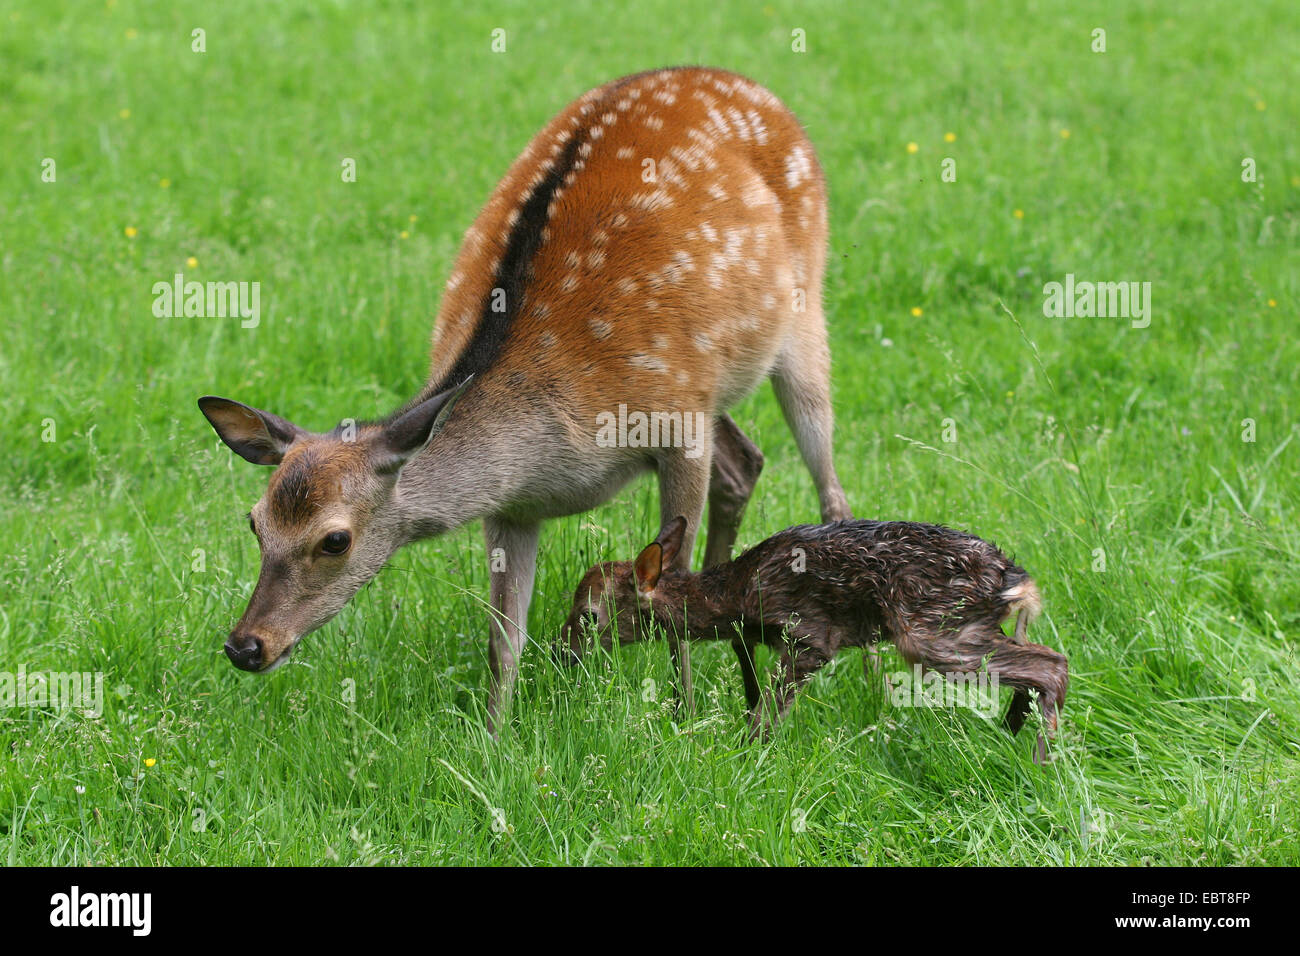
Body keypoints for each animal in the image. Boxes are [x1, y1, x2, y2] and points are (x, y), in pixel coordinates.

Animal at [197, 66, 852, 733]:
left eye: (335, 539)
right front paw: (493, 734)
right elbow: (503, 635)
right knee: (744, 462)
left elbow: (670, 583)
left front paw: (685, 714)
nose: (245, 645)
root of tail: (742, 83)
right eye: (254, 522)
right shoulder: (510, 505)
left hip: (802, 318)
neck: (553, 441)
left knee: (829, 487)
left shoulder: (679, 425)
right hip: (717, 389)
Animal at [556, 516, 1069, 763]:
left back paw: (1038, 762)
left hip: (931, 633)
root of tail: (1015, 579)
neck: (735, 594)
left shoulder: (809, 636)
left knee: (1052, 665)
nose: (562, 655)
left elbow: (768, 709)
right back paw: (1010, 732)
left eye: (589, 617)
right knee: (1035, 665)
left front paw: (747, 755)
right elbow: (752, 685)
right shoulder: (756, 636)